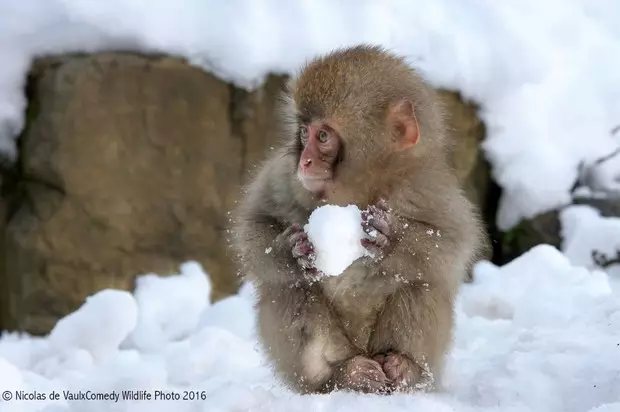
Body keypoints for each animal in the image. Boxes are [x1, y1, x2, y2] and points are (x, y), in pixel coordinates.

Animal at [232, 44, 484, 392]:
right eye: (304, 133)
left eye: (323, 136)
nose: (305, 162)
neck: (358, 191)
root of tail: (362, 350)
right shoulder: (283, 175)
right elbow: (254, 228)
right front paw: (292, 252)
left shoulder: (426, 185)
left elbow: (453, 240)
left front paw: (391, 240)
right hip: (337, 350)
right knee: (288, 287)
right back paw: (340, 374)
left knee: (420, 280)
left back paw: (404, 366)